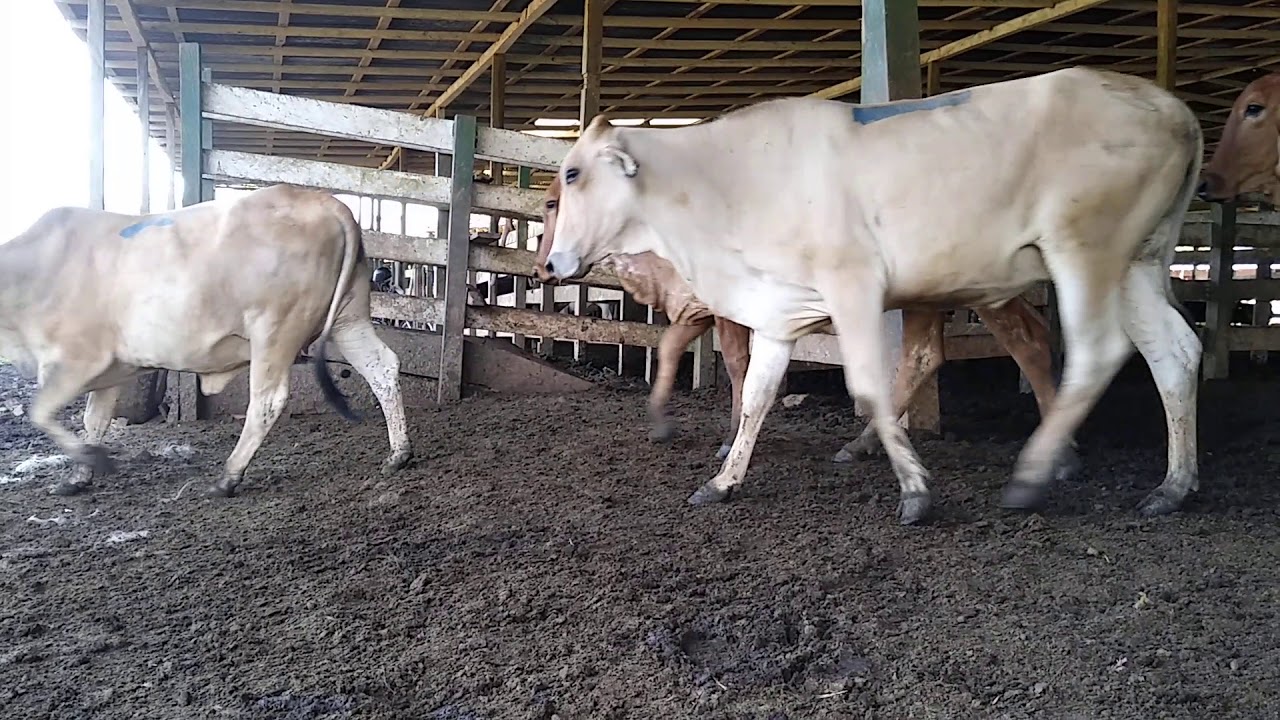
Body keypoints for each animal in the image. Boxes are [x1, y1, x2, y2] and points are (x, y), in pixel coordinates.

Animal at [0, 184, 414, 498]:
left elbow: (41, 413)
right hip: (349, 318)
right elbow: (94, 419)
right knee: (381, 367)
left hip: (275, 329)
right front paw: (79, 475)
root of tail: (325, 202)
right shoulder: (112, 369)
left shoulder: (76, 358)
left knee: (268, 400)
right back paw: (399, 453)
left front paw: (91, 461)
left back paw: (229, 476)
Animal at [532, 175, 1077, 471]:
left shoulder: (729, 309)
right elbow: (669, 348)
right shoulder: (697, 308)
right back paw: (860, 445)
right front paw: (663, 420)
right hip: (929, 298)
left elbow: (737, 365)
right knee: (926, 356)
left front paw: (730, 436)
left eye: (555, 201)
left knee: (1028, 341)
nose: (541, 269)